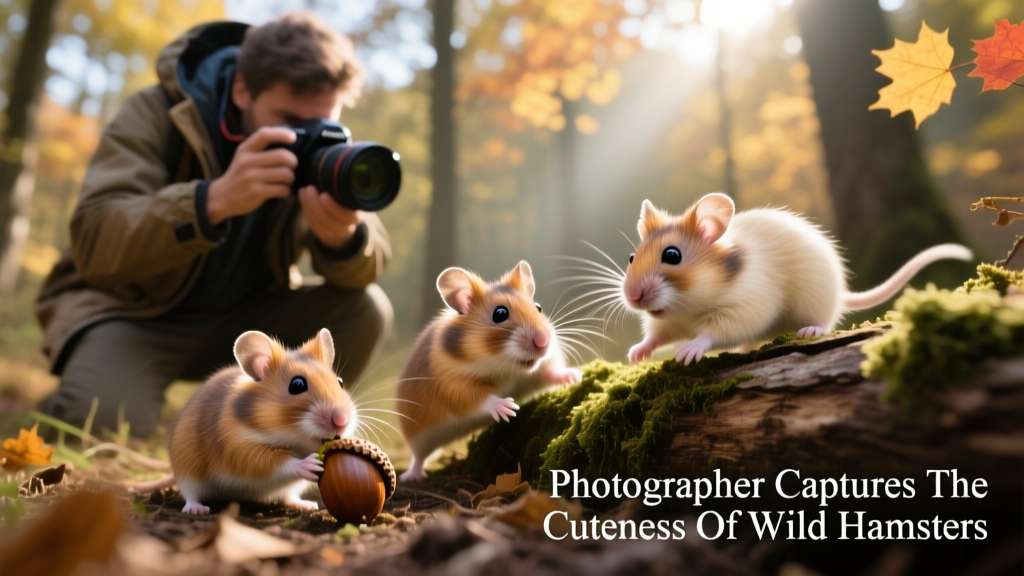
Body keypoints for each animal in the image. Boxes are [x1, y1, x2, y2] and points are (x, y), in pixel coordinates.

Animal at [133, 328, 356, 514]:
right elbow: (277, 462)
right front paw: (309, 464)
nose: (342, 420)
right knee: (190, 492)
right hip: (187, 467)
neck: (287, 436)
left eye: (340, 382)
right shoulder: (239, 449)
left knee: (287, 496)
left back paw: (307, 505)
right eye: (297, 385)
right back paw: (196, 510)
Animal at [396, 261, 582, 482]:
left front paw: (575, 376)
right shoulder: (453, 385)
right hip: (419, 437)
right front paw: (509, 408)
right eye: (500, 314)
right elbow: (479, 398)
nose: (543, 341)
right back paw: (412, 477)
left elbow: (550, 373)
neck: (504, 366)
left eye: (538, 308)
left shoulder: (535, 374)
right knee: (419, 457)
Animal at [622, 193, 973, 365]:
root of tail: (842, 291)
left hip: (814, 301)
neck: (688, 304)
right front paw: (635, 354)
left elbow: (710, 333)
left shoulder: (743, 309)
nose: (632, 296)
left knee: (824, 321)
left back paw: (809, 330)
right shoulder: (667, 323)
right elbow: (654, 337)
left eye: (672, 255)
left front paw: (687, 352)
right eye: (631, 258)